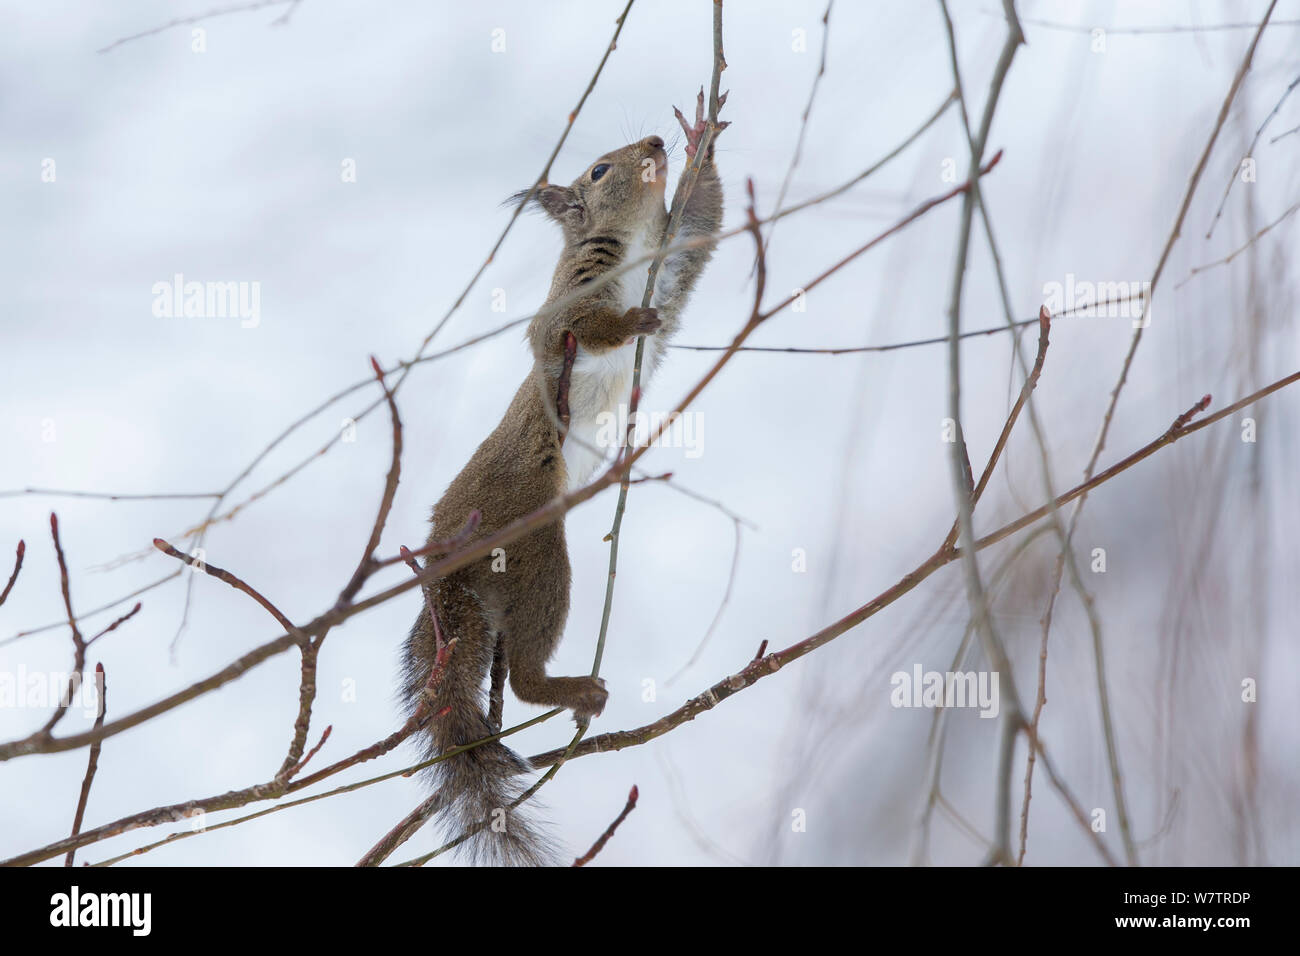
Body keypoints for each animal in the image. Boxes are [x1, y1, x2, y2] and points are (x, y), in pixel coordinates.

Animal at [398, 94, 726, 866]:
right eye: (600, 170)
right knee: (520, 678)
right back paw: (572, 690)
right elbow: (569, 330)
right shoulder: (567, 306)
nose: (655, 142)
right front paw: (630, 321)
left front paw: (702, 140)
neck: (633, 244)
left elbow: (700, 227)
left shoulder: (674, 260)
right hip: (535, 550)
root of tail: (443, 568)